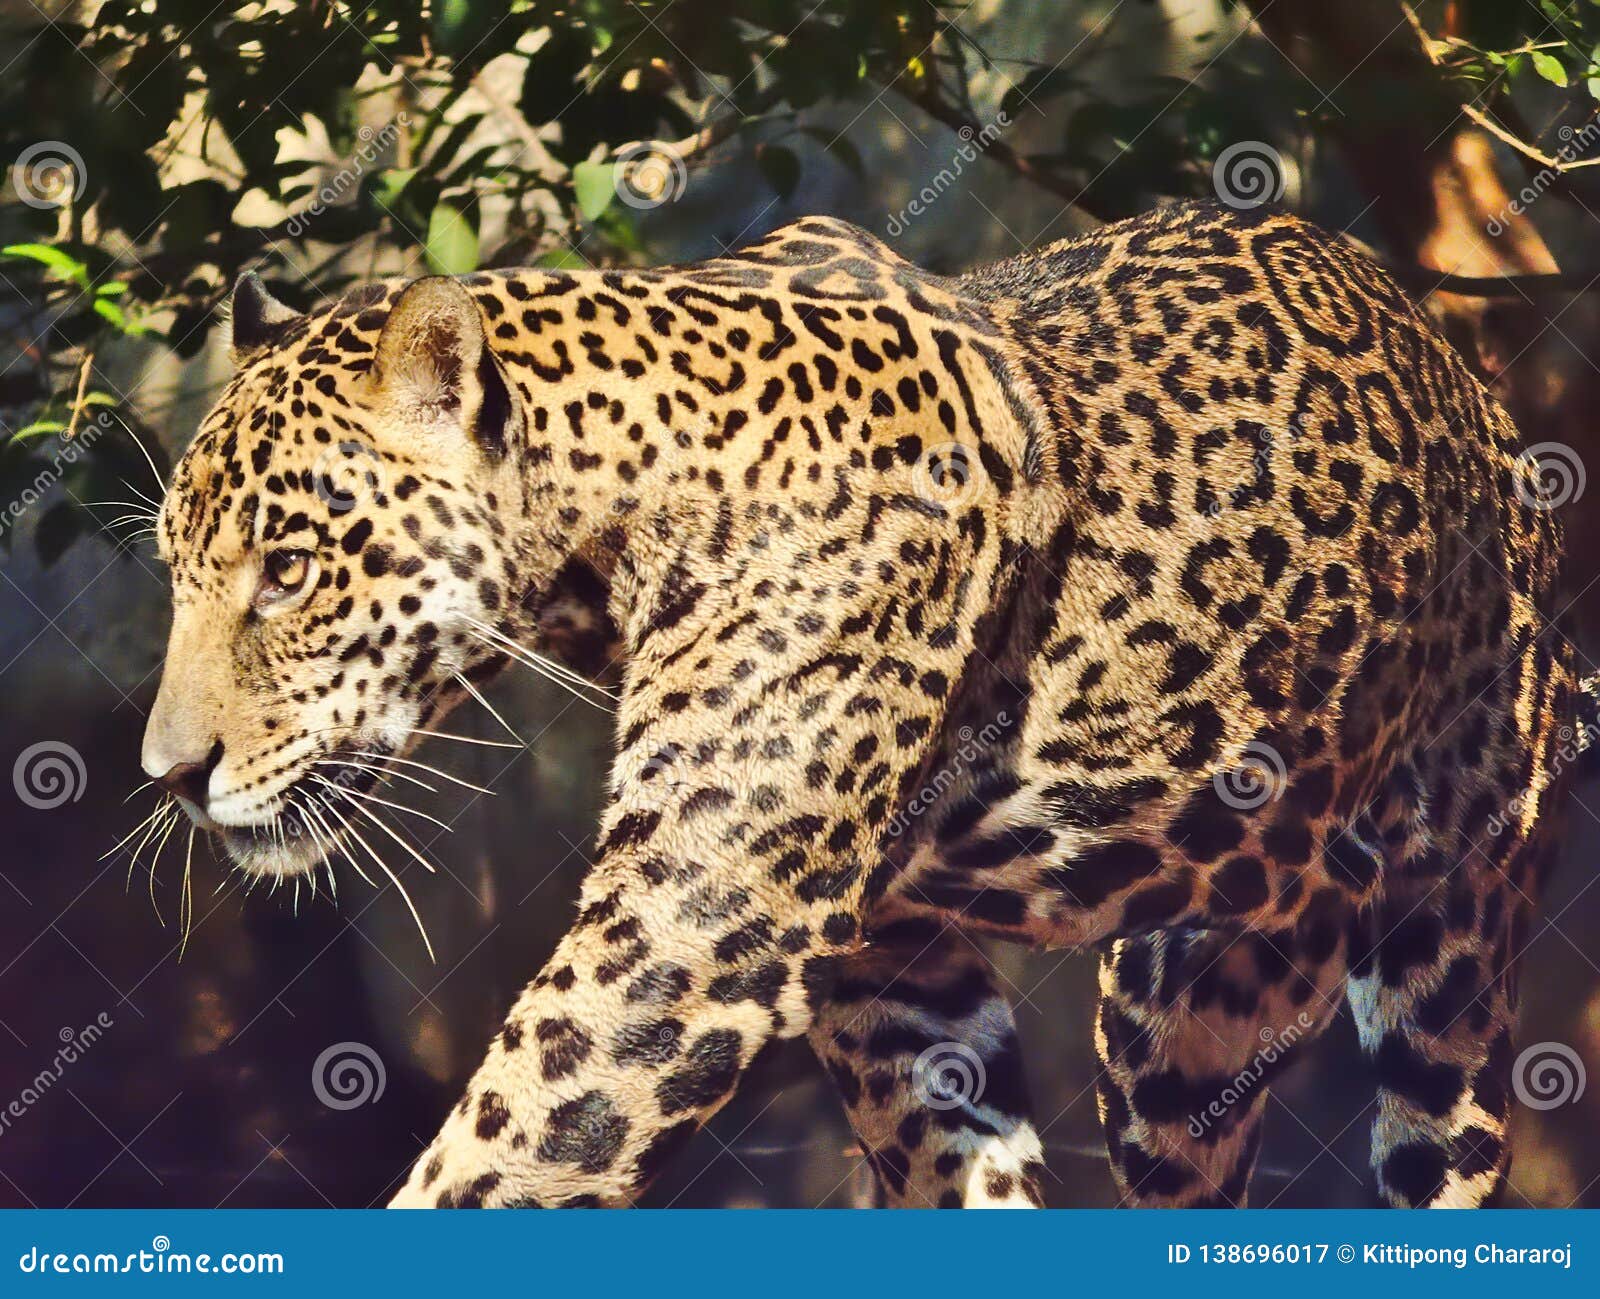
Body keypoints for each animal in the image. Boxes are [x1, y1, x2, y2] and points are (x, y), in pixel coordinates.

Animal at [138, 199, 1584, 1210]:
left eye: (287, 571)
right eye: (175, 568)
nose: (168, 774)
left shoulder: (690, 923)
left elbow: (502, 1146)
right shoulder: (893, 970)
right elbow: (955, 1160)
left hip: (1453, 948)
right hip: (1180, 1024)